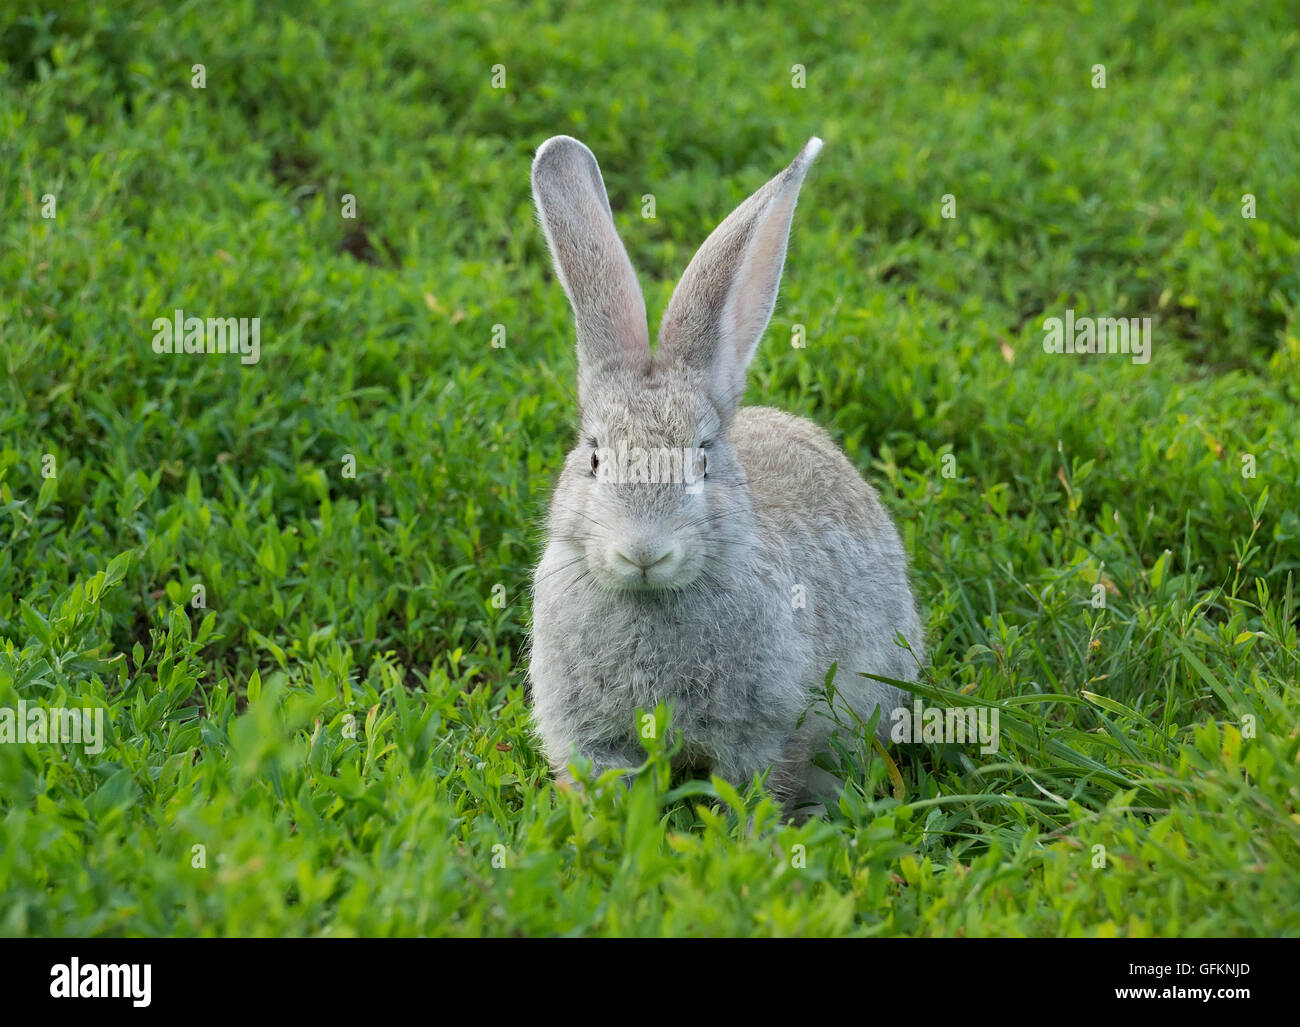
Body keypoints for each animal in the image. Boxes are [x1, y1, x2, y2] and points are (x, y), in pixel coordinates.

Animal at [527, 134, 925, 814]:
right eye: (595, 457)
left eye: (704, 458)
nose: (644, 552)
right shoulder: (591, 737)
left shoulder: (766, 735)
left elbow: (753, 791)